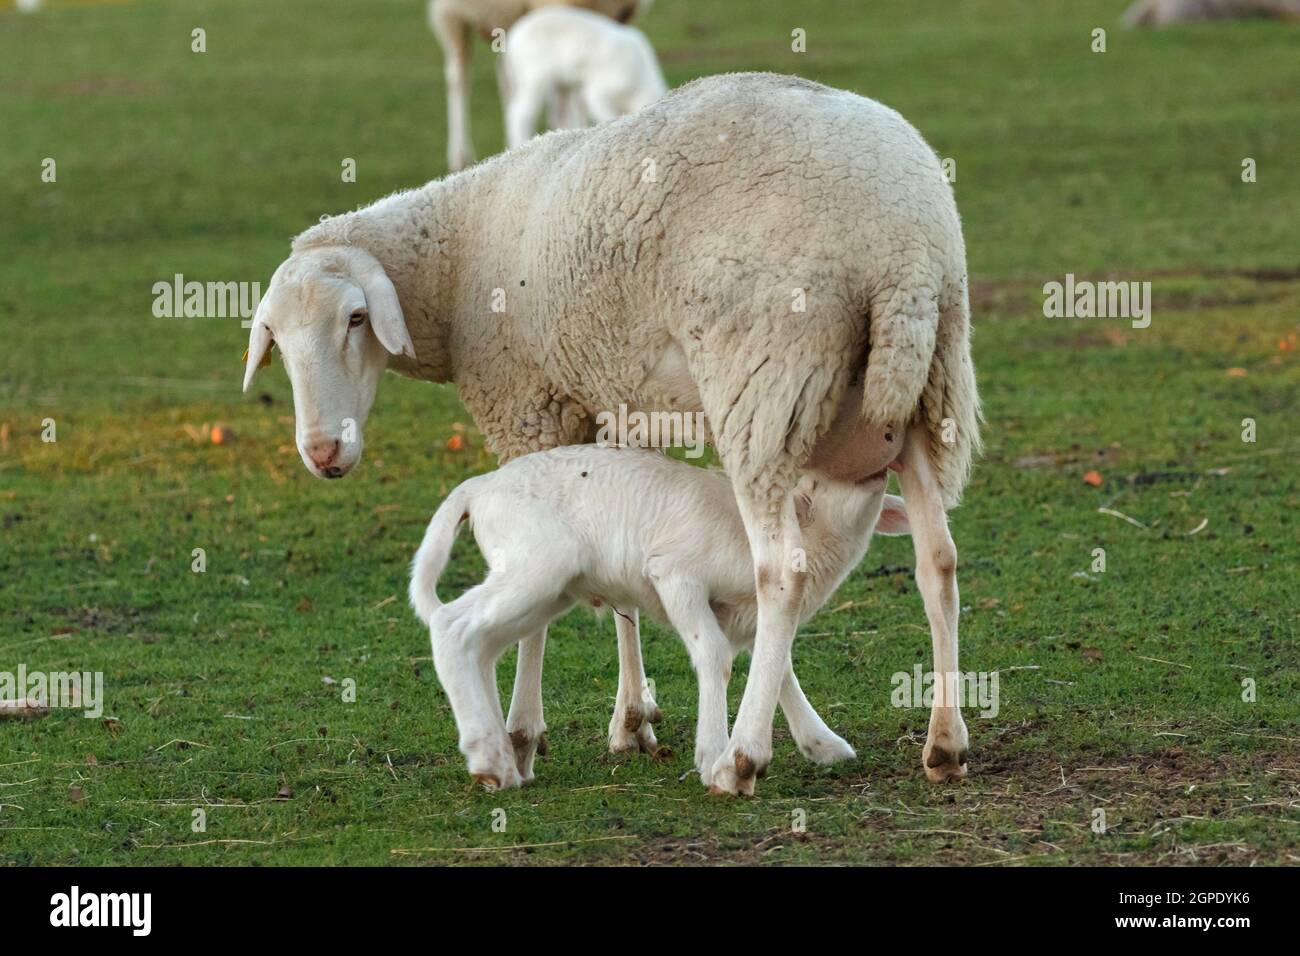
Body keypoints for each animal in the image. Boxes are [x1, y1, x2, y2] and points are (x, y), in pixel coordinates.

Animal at [408, 443, 911, 789]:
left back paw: (500, 755)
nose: (881, 466)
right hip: (534, 564)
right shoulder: (675, 574)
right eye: (826, 478)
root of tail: (478, 487)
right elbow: (715, 655)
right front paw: (714, 755)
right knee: (452, 626)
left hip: (547, 586)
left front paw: (822, 745)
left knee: (481, 645)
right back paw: (488, 755)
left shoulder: (746, 612)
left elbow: (777, 663)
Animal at [502, 6, 667, 149]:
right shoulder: (599, 91)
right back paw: (520, 143)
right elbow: (609, 115)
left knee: (560, 114)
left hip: (561, 81)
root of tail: (513, 38)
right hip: (535, 75)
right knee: (520, 114)